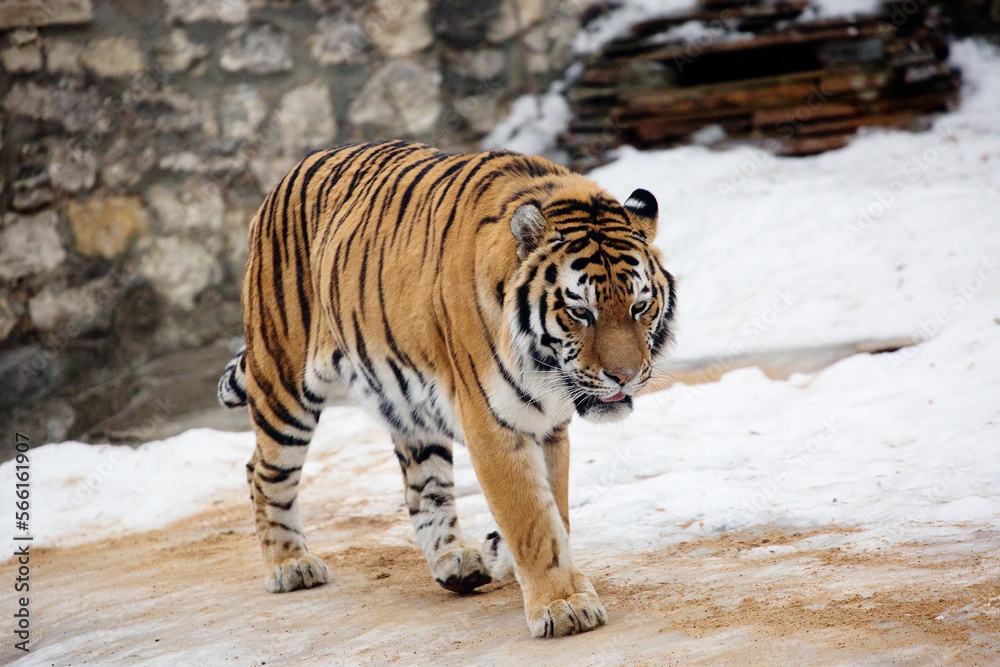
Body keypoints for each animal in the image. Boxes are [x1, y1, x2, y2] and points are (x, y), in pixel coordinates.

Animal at [218, 140, 676, 638]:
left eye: (640, 306)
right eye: (580, 312)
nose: (625, 376)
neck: (546, 370)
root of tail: (284, 180)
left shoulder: (550, 427)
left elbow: (556, 509)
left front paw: (523, 567)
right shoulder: (494, 425)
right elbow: (532, 520)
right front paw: (564, 605)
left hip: (407, 402)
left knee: (424, 486)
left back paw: (454, 561)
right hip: (283, 382)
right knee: (263, 471)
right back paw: (290, 564)